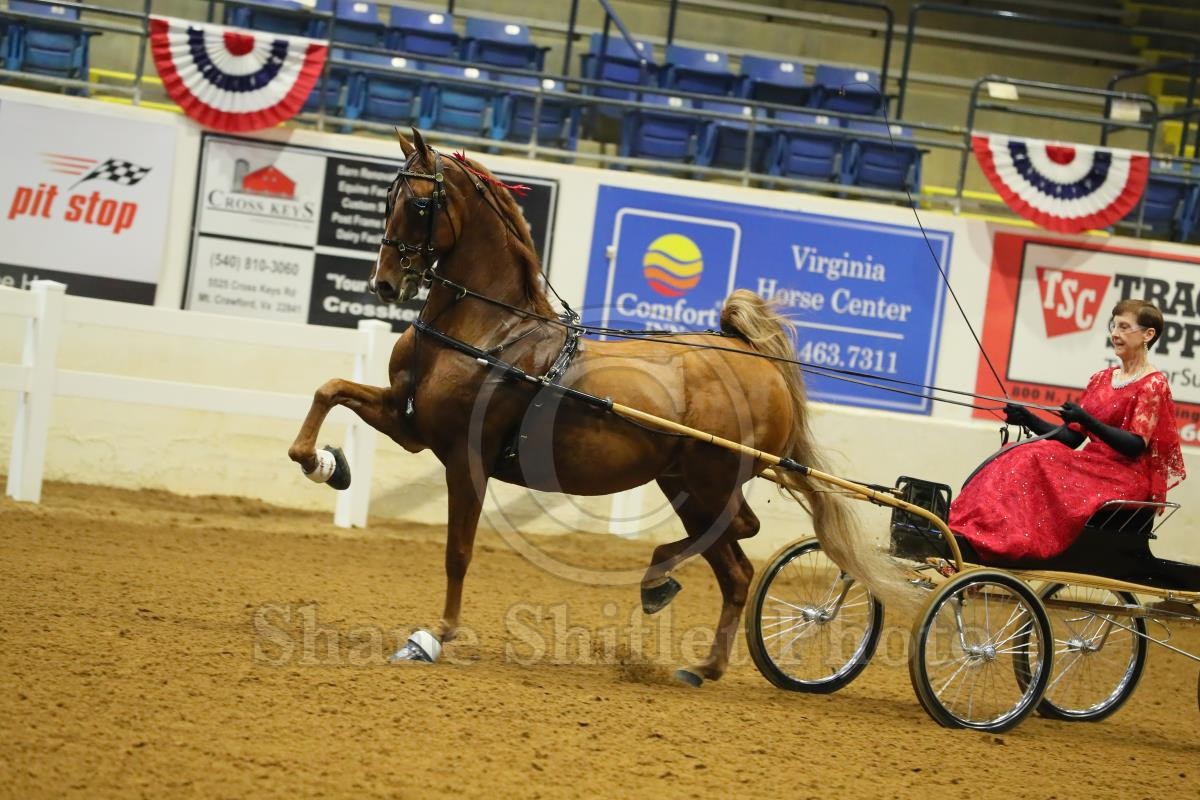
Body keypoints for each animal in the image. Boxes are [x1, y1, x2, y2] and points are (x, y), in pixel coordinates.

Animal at [288, 129, 908, 684]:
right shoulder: (409, 421)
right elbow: (329, 390)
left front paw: (435, 636)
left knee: (743, 533)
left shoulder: (465, 456)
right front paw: (325, 464)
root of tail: (754, 357)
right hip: (683, 483)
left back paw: (660, 580)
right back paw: (698, 655)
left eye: (419, 203)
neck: (491, 331)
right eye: (387, 199)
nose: (385, 284)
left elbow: (457, 550)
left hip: (711, 478)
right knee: (735, 567)